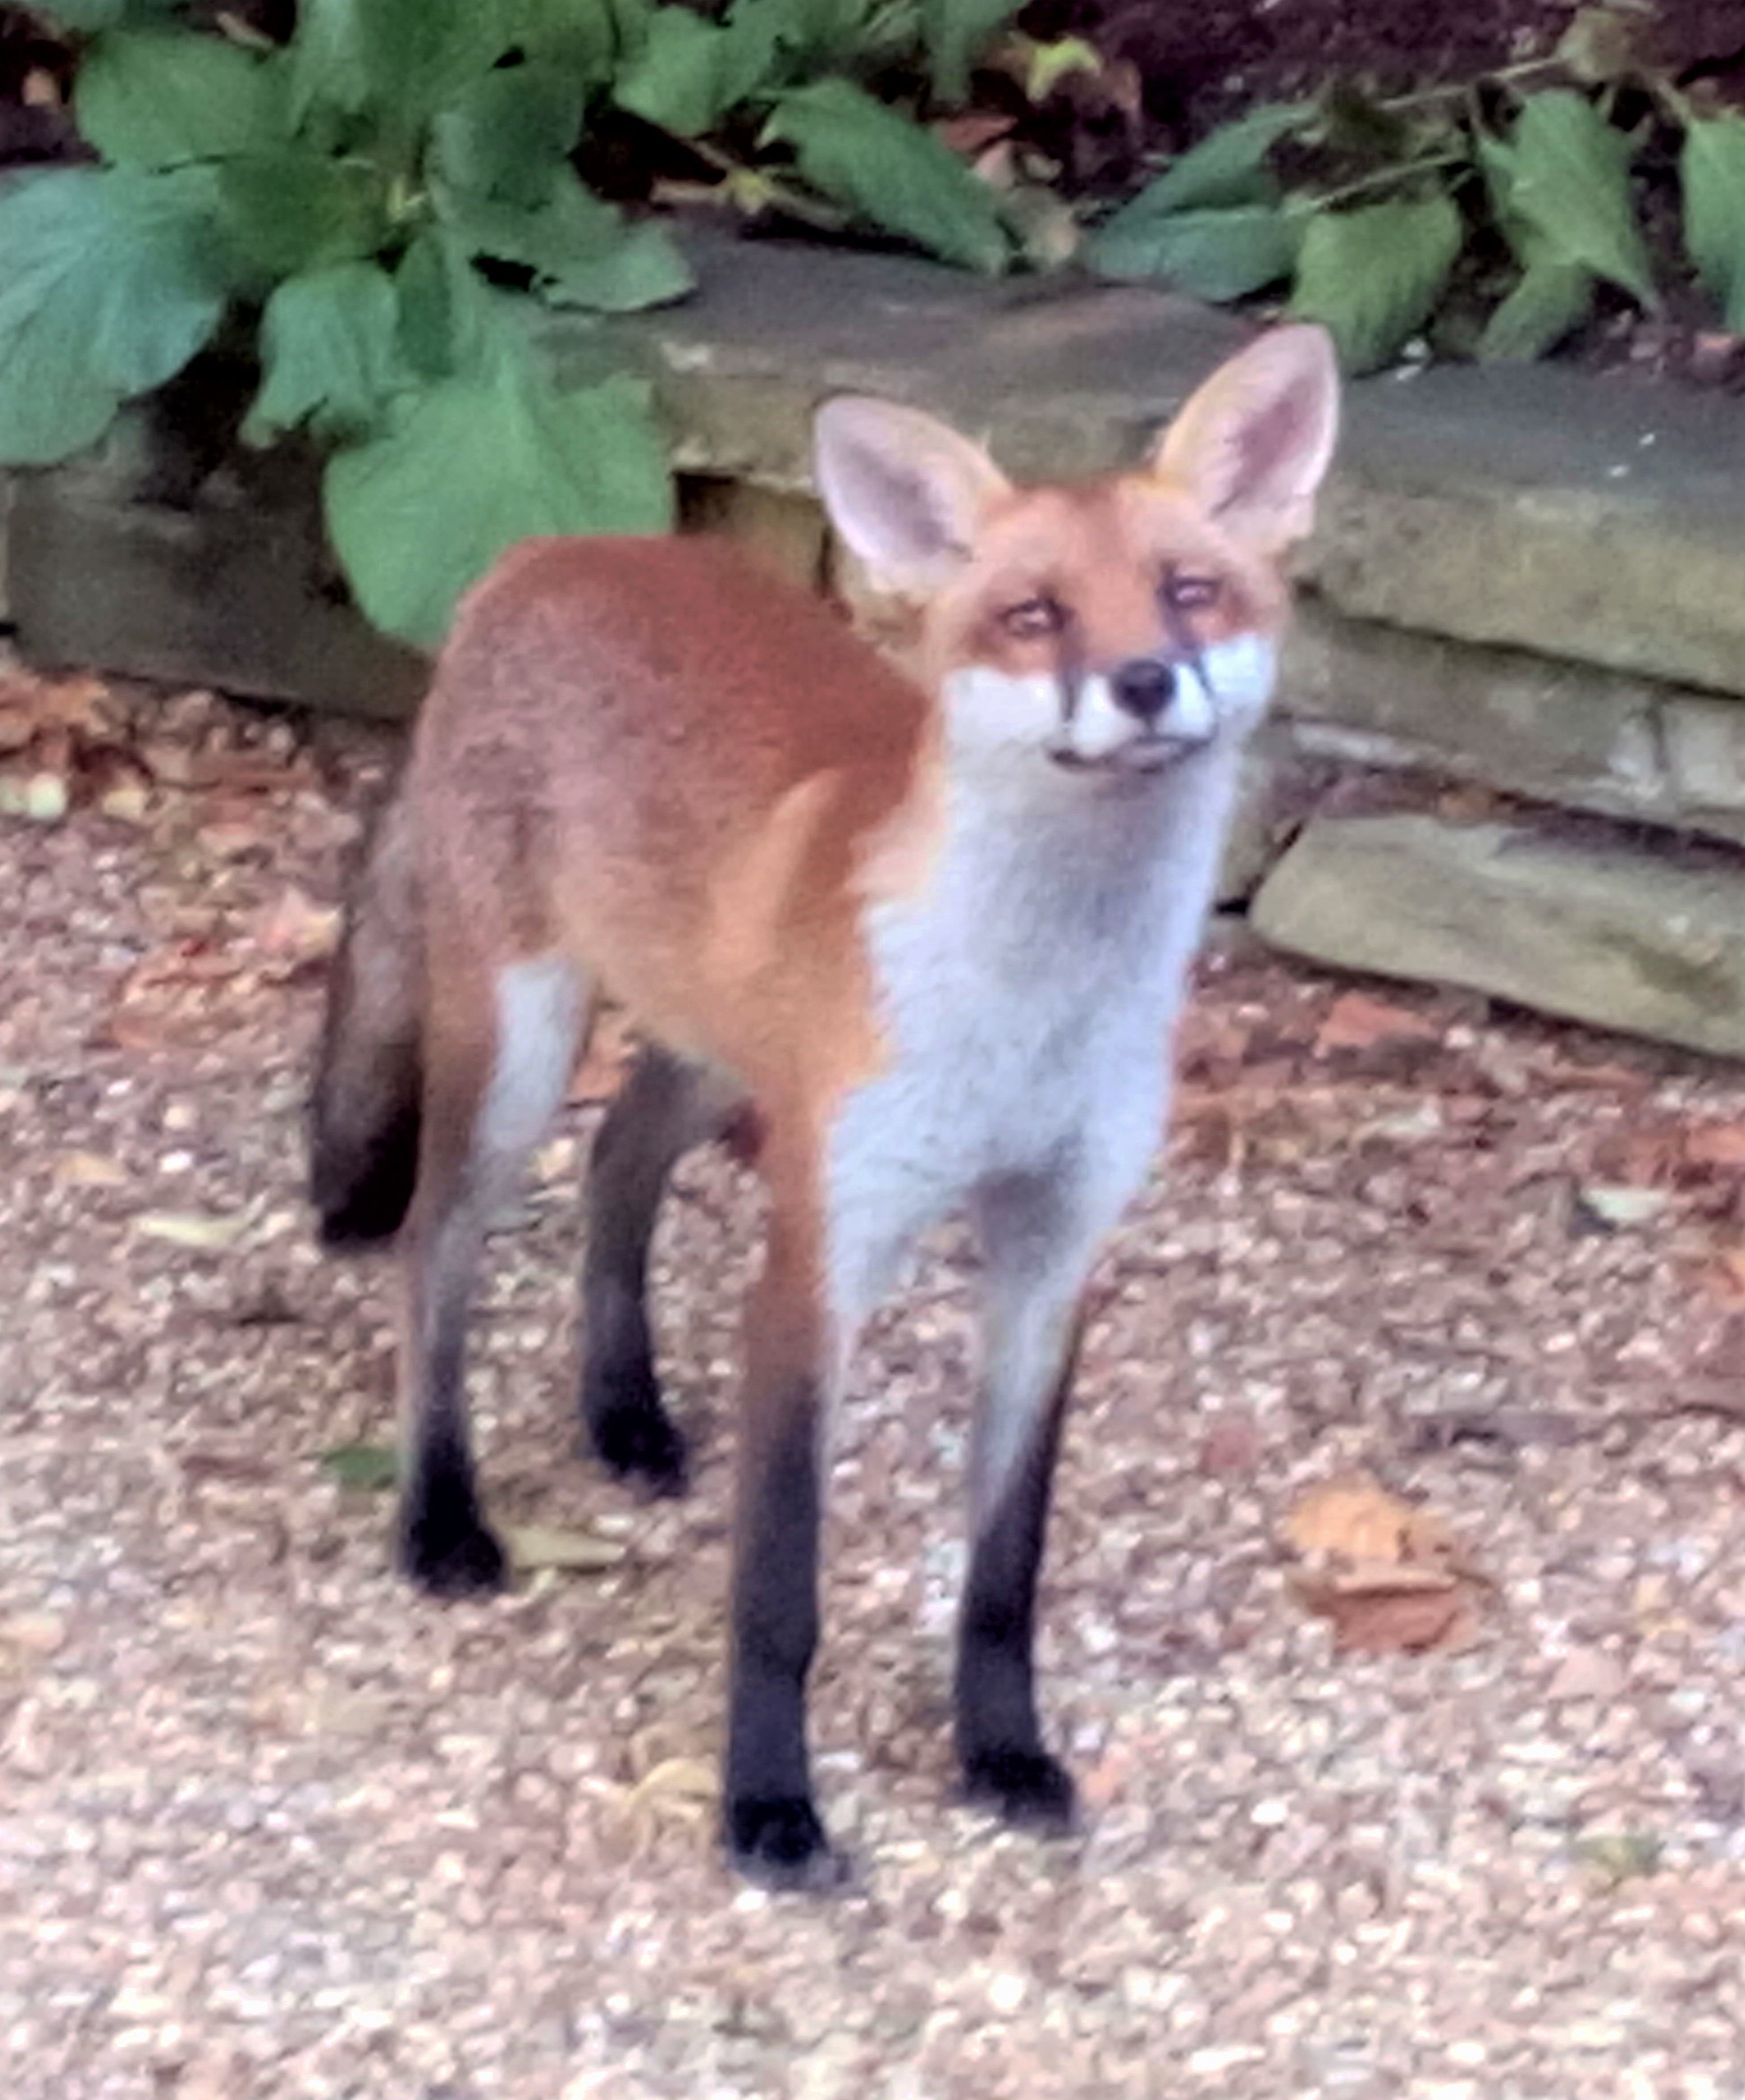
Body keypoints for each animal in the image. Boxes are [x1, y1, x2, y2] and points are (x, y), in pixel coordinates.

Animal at [308, 322, 1340, 1889]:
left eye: (1188, 590)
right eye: (1033, 614)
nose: (1146, 681)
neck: (1028, 1013)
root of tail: (545, 549)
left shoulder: (1051, 1257)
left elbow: (1003, 1577)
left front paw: (1002, 1755)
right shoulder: (821, 1260)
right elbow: (778, 1595)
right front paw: (769, 1810)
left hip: (718, 1063)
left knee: (619, 1163)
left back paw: (625, 1412)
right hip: (521, 1056)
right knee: (436, 1248)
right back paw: (440, 1518)